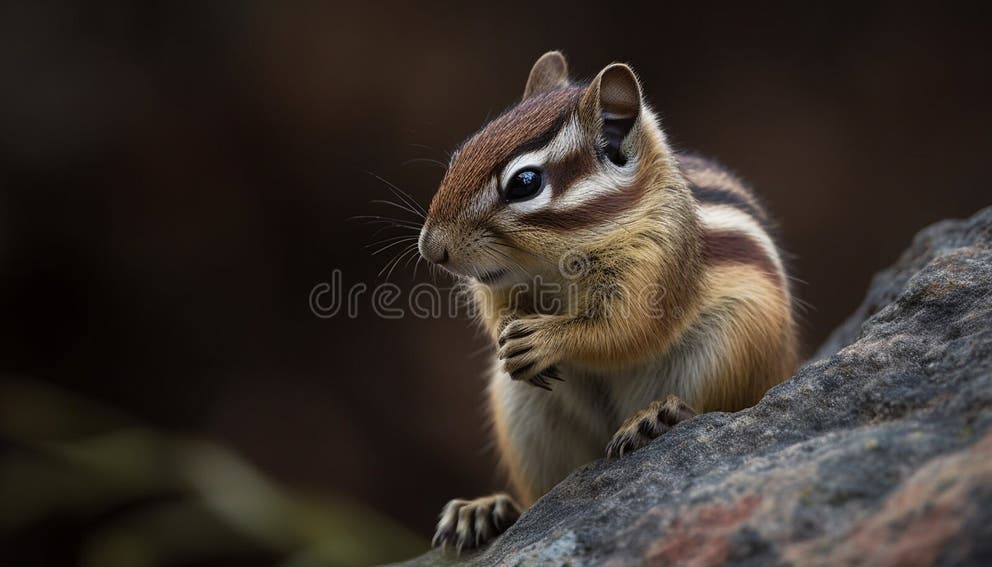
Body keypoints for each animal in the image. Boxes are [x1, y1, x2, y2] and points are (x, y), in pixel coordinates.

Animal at [417, 51, 798, 552]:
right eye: (461, 153)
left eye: (524, 183)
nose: (430, 249)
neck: (554, 265)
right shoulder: (497, 287)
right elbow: (497, 314)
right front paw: (506, 336)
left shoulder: (656, 265)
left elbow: (625, 329)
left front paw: (545, 340)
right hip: (522, 411)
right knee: (537, 494)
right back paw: (485, 511)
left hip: (733, 346)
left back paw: (657, 418)